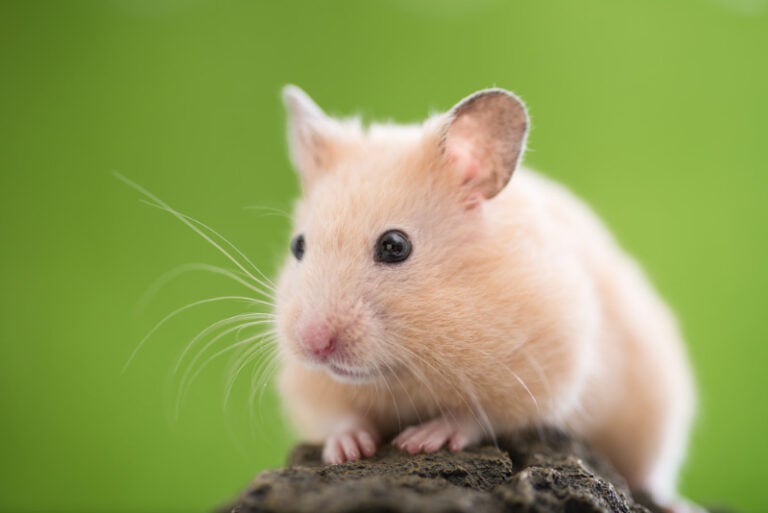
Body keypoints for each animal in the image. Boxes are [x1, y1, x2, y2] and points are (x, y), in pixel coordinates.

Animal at [273, 85, 695, 507]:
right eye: (297, 246)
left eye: (394, 246)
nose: (314, 343)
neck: (404, 370)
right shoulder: (312, 386)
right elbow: (338, 416)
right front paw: (348, 449)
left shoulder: (548, 365)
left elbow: (481, 415)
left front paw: (420, 441)